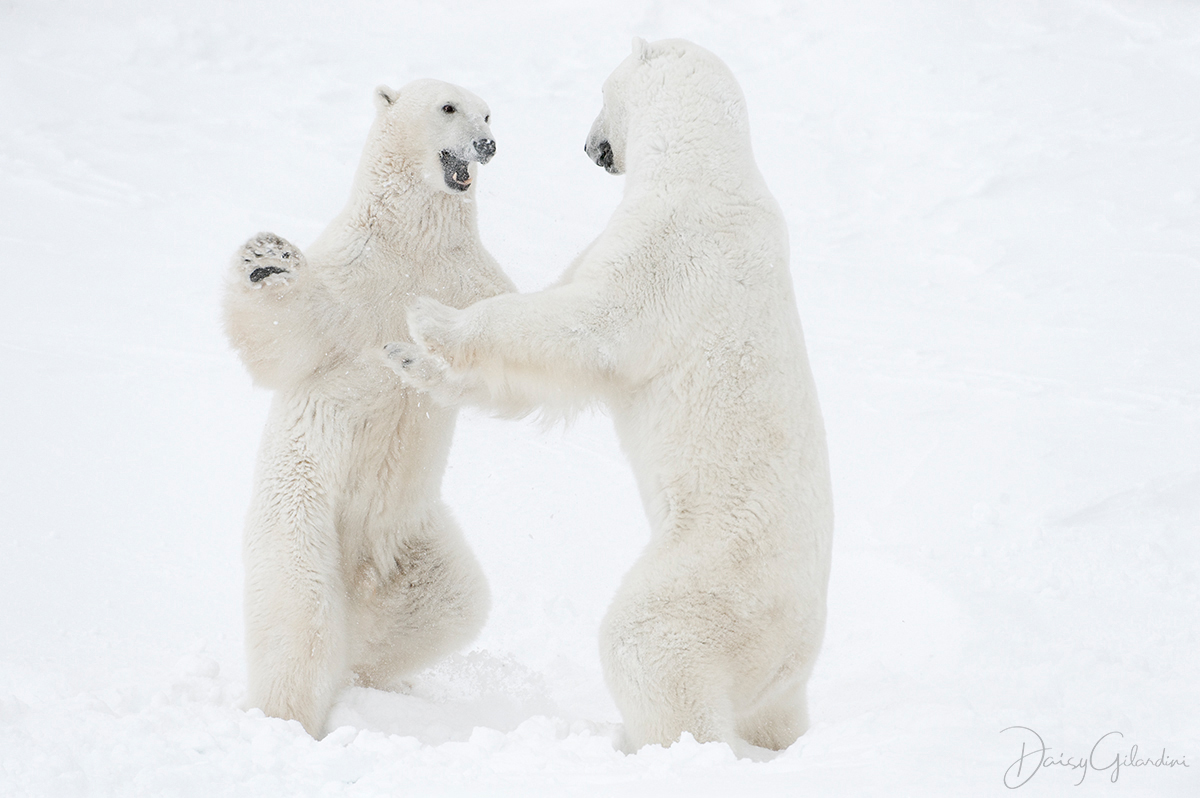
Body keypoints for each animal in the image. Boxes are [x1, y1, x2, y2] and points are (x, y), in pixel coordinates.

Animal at [223, 79, 515, 738]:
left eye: (489, 113)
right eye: (448, 108)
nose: (486, 145)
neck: (414, 245)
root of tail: (360, 578)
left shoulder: (469, 280)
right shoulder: (352, 273)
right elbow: (290, 339)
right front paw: (265, 259)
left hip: (415, 536)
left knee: (452, 605)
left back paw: (376, 674)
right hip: (304, 507)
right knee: (298, 608)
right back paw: (289, 715)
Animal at [382, 39, 834, 758]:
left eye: (600, 94)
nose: (592, 147)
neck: (707, 167)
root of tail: (797, 645)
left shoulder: (669, 251)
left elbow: (583, 328)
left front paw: (431, 317)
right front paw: (409, 362)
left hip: (710, 577)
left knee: (647, 647)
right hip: (773, 668)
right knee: (773, 714)